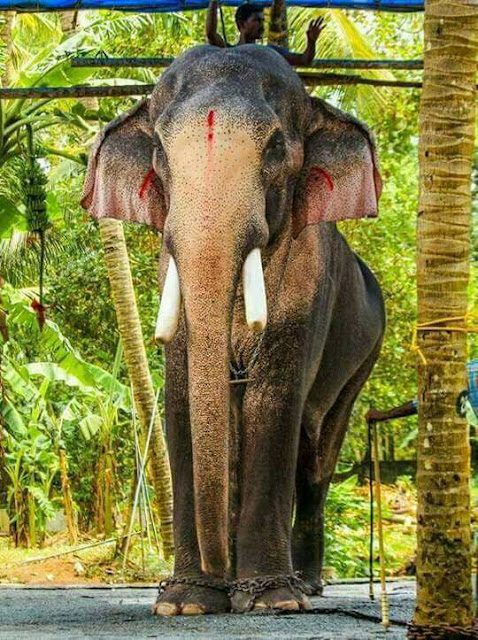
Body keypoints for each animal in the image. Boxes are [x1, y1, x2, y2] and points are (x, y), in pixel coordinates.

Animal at [81, 44, 386, 616]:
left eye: (275, 146)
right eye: (159, 150)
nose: (219, 568)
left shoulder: (309, 283)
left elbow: (271, 403)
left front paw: (271, 601)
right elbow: (182, 400)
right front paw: (186, 602)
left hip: (364, 358)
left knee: (316, 455)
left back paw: (307, 585)